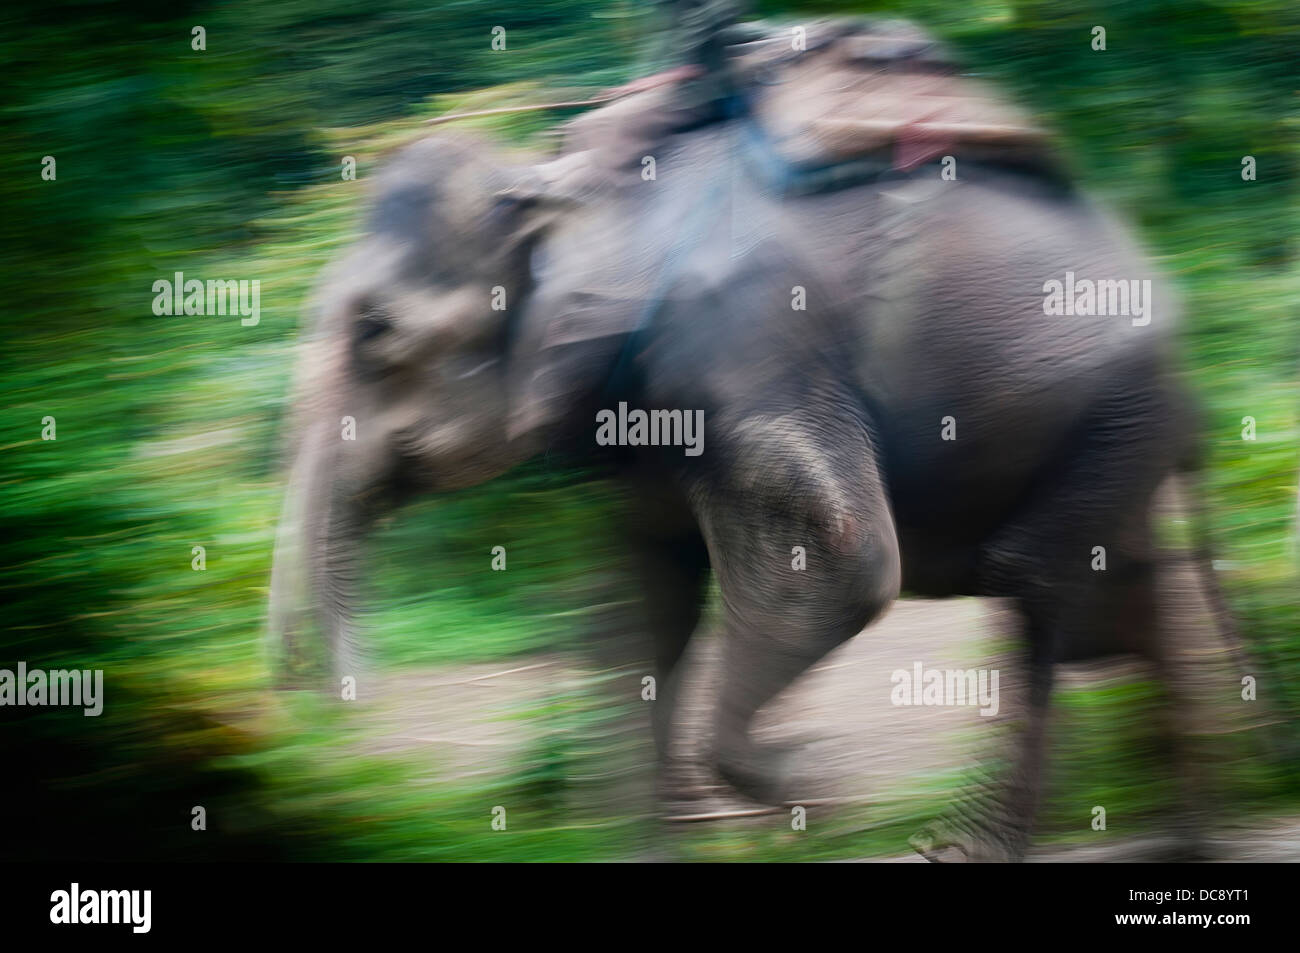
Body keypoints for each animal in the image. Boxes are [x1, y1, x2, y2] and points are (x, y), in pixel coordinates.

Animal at [269, 79, 1208, 859]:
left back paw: (968, 846)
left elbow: (844, 562)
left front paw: (820, 787)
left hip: (1114, 405)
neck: (561, 174)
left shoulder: (751, 352)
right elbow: (641, 604)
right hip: (1114, 425)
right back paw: (1183, 834)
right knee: (1124, 596)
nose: (335, 731)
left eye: (376, 333)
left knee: (1036, 579)